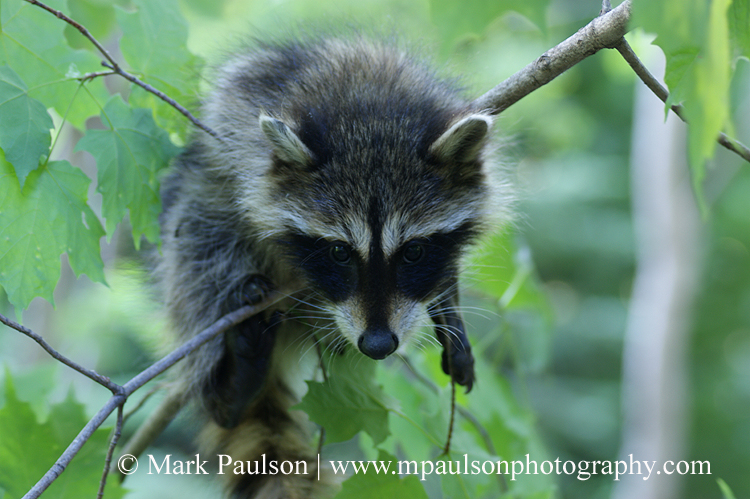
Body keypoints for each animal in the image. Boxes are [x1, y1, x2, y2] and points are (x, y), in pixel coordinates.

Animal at [155, 33, 512, 498]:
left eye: (413, 252)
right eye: (340, 252)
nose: (377, 345)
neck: (373, 110)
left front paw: (446, 303)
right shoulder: (243, 112)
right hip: (193, 218)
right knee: (199, 245)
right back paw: (228, 390)